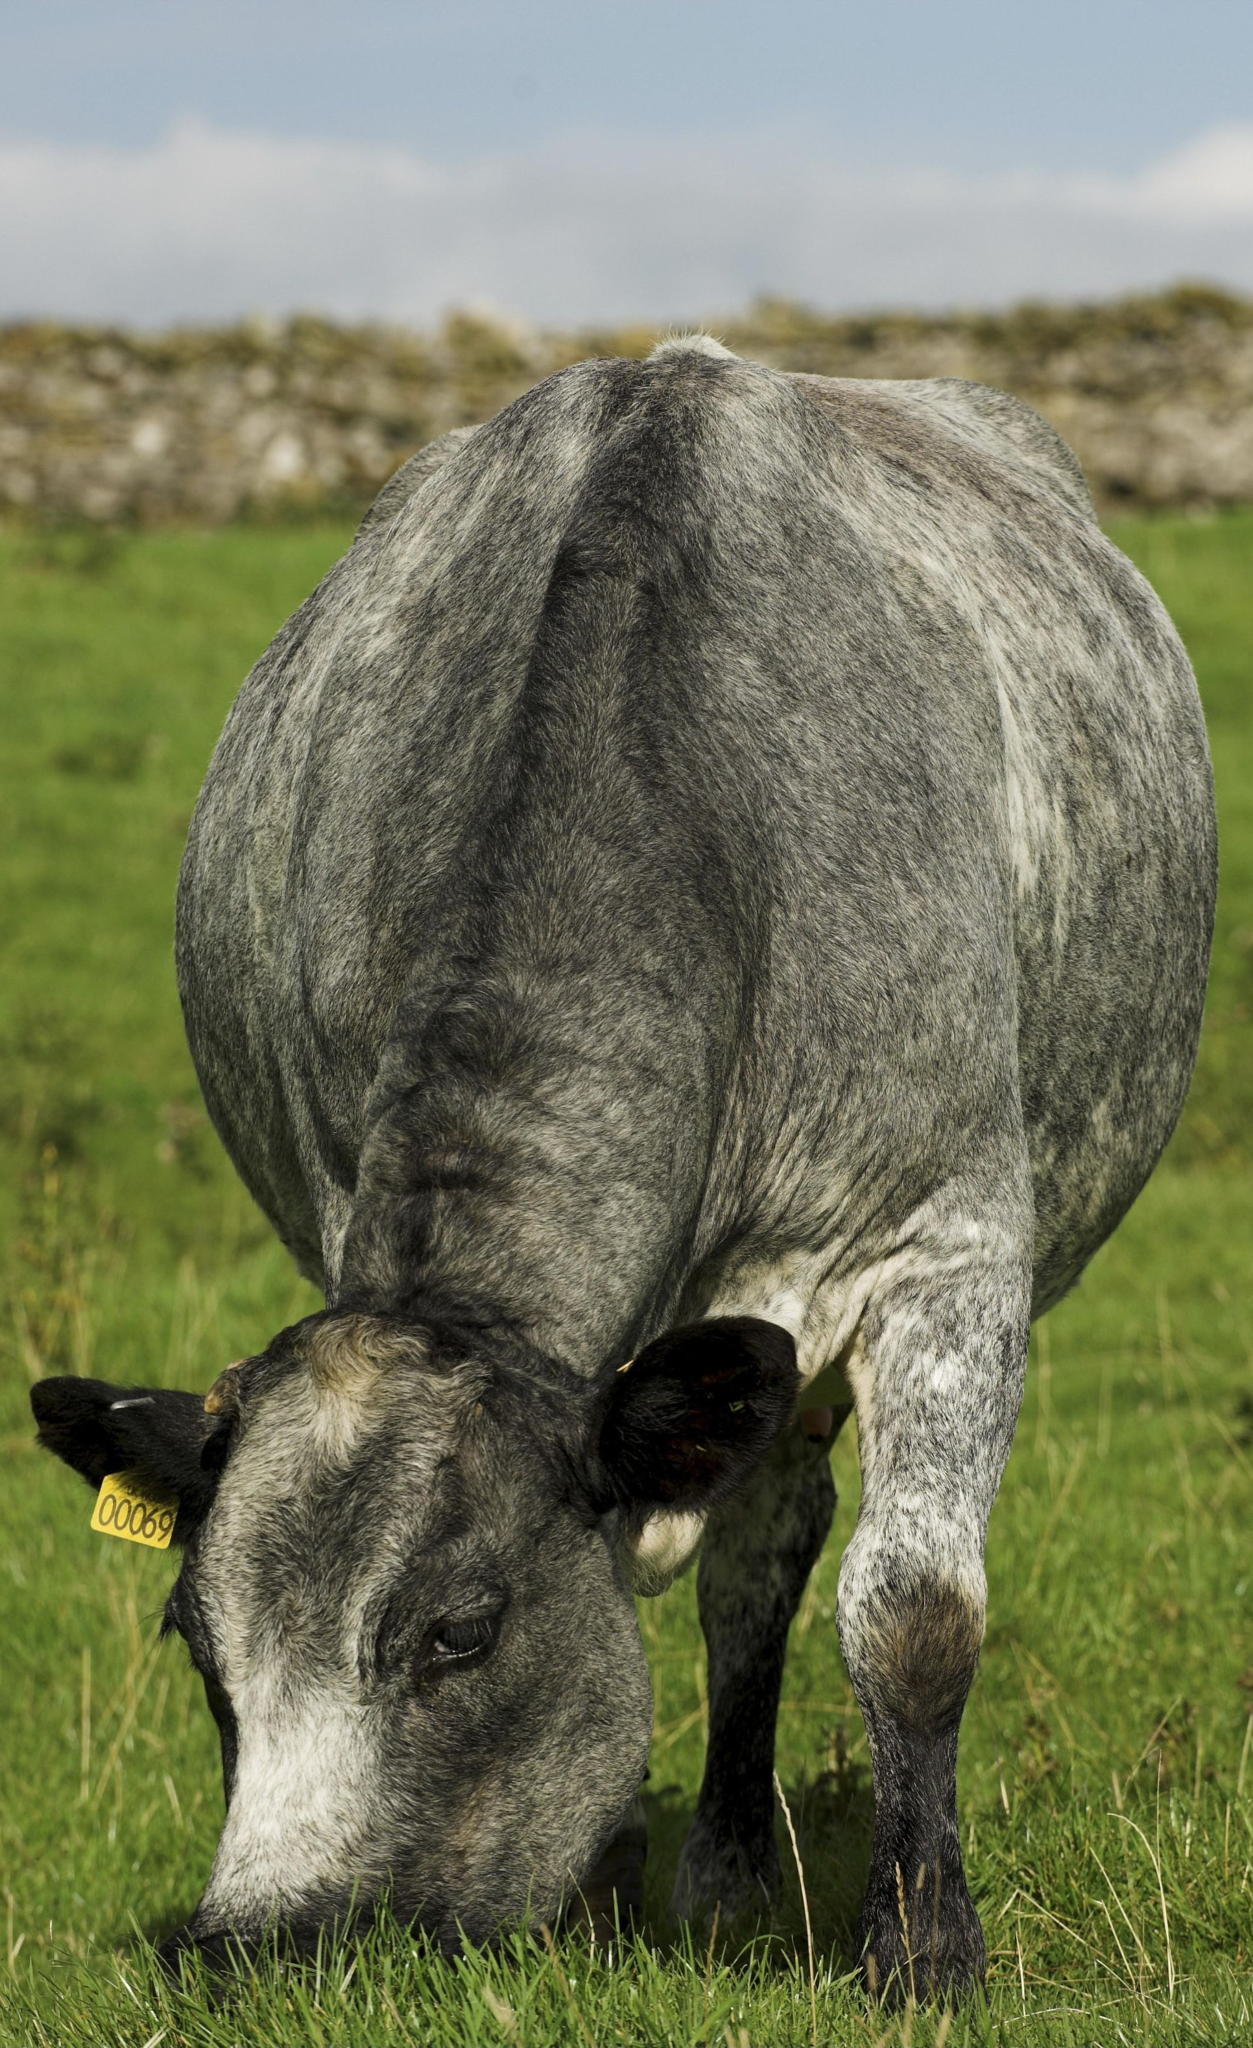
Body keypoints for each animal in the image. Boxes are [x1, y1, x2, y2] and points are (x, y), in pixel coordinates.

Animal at [32, 336, 1215, 2003]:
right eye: (197, 1647)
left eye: (457, 1632)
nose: (254, 1944)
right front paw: (602, 1902)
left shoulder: (943, 1247)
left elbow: (913, 1614)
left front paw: (924, 1947)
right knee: (755, 1563)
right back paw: (719, 1871)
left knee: (768, 1564)